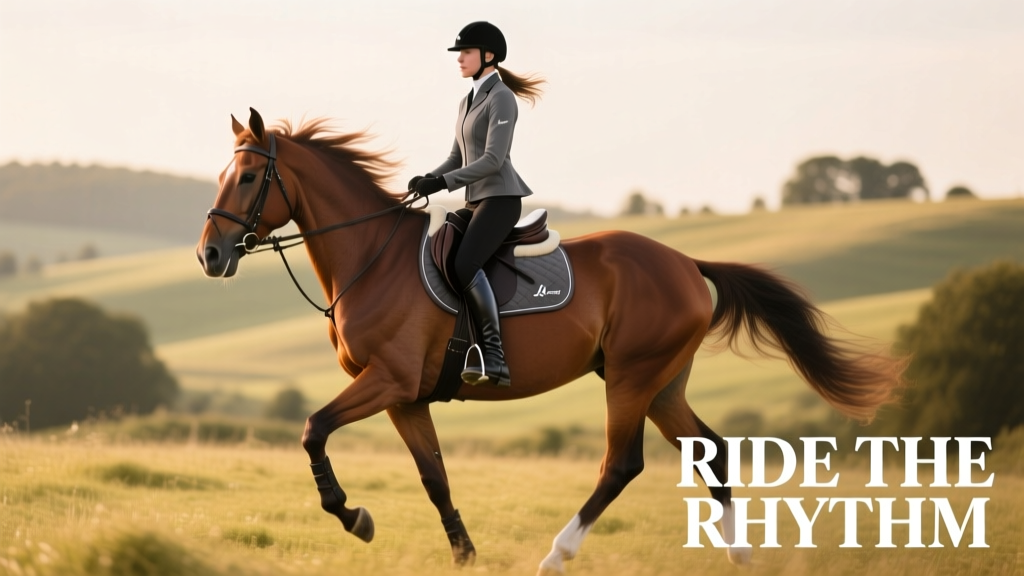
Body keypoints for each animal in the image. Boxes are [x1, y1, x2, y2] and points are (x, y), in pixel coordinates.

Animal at [196, 109, 902, 575]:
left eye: (250, 178)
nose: (209, 255)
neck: (372, 257)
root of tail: (685, 262)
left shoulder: (386, 382)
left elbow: (313, 428)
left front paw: (353, 516)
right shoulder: (406, 398)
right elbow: (435, 478)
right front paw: (464, 555)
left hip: (632, 378)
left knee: (621, 464)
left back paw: (557, 555)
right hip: (662, 383)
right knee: (712, 451)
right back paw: (740, 555)